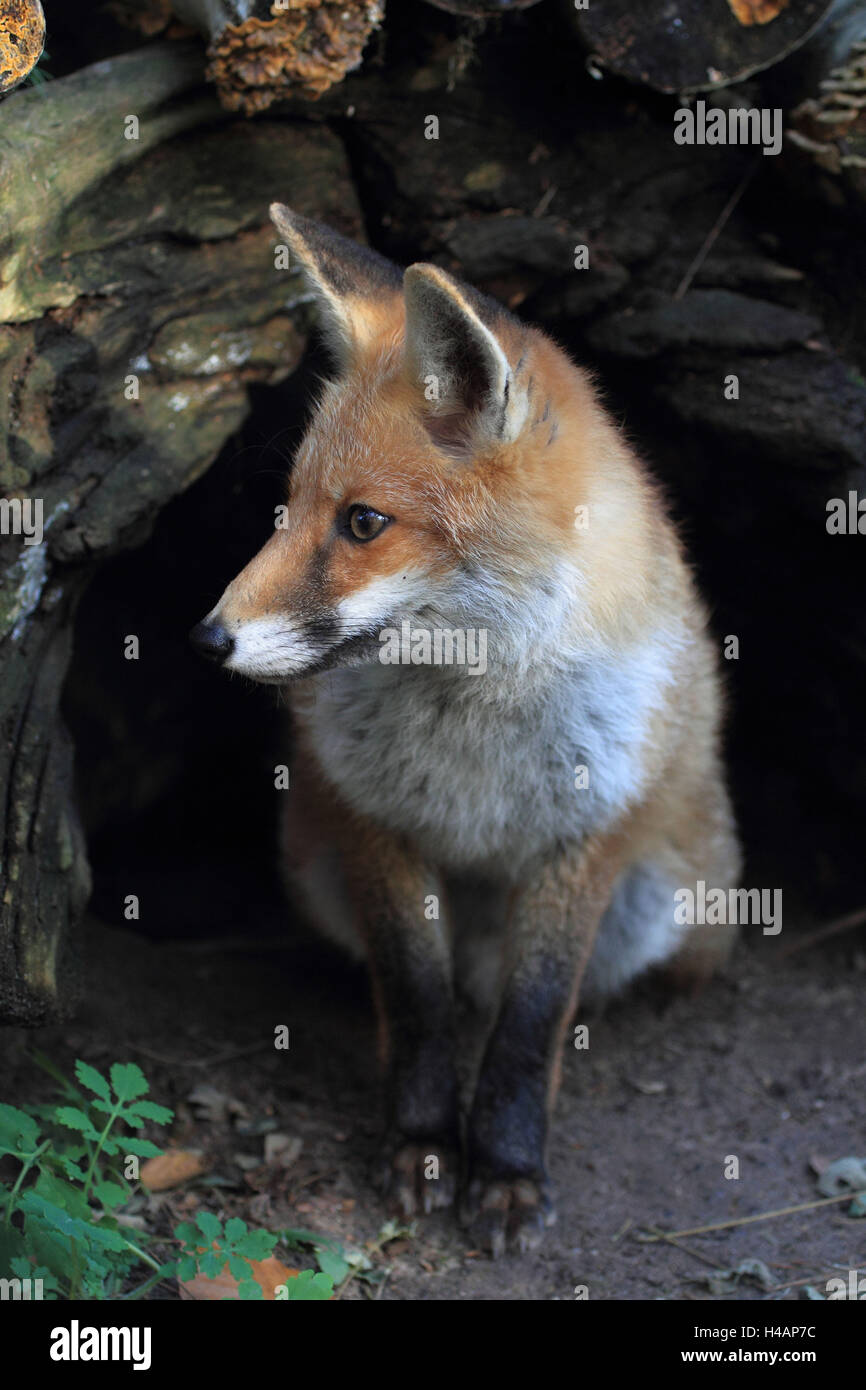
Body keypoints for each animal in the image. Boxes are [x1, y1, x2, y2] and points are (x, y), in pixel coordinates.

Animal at [190, 206, 741, 1257]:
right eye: (288, 508)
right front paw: (423, 1146)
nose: (208, 638)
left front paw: (510, 1171)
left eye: (364, 523)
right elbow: (417, 1000)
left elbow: (530, 1026)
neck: (473, 709)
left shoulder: (586, 836)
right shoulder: (374, 826)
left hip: (666, 898)